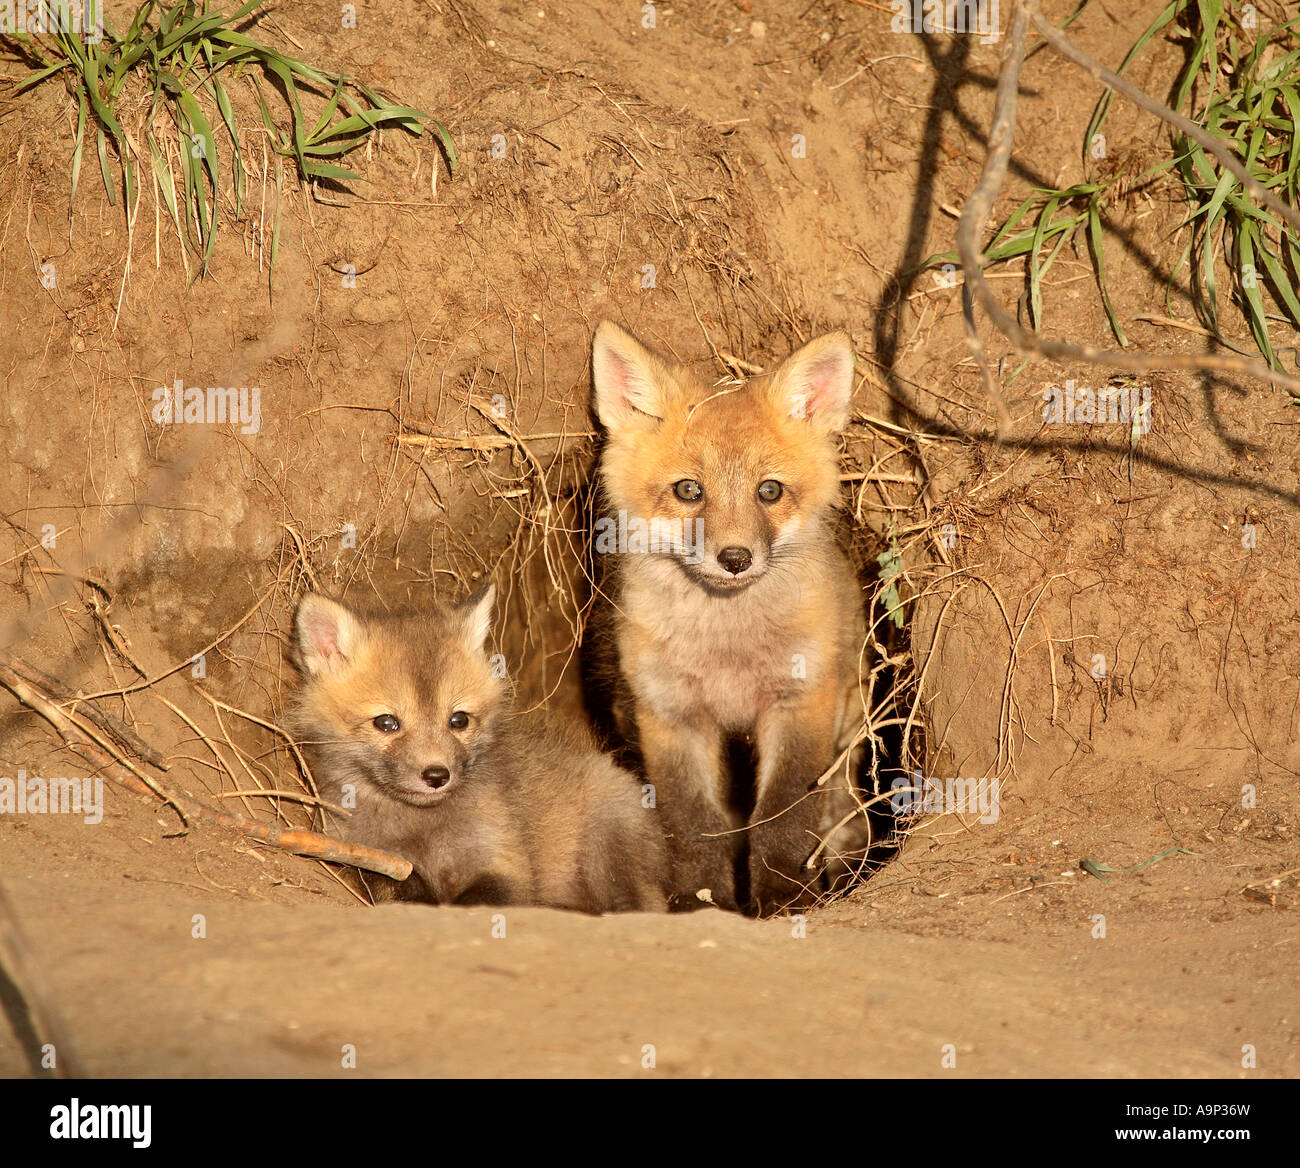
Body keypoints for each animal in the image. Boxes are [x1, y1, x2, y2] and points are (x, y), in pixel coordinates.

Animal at [288, 584, 667, 914]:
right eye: (386, 723)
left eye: (458, 720)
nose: (437, 775)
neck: (421, 831)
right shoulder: (353, 849)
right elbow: (389, 884)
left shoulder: (503, 860)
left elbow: (481, 901)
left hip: (608, 852)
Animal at [589, 320, 869, 916]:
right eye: (688, 490)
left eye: (770, 491)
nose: (736, 558)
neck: (727, 652)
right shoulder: (669, 716)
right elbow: (694, 824)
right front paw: (702, 901)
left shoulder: (800, 701)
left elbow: (782, 814)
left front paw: (785, 896)